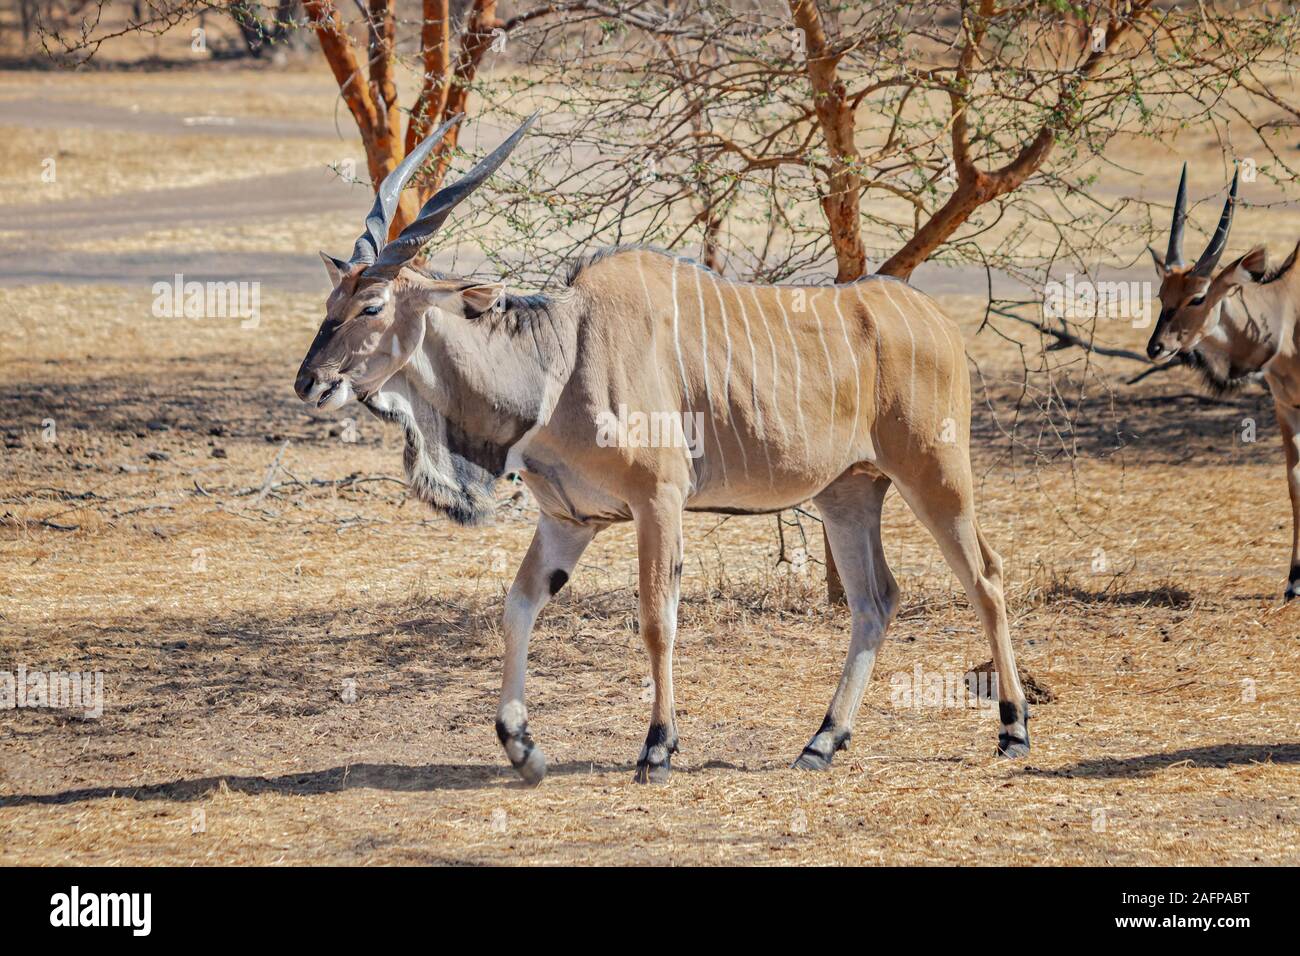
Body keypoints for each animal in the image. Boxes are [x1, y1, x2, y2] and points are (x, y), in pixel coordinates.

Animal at [294, 116, 1032, 784]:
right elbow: (519, 605)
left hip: (934, 474)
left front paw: (657, 748)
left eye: (372, 307)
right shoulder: (568, 522)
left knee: (986, 577)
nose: (310, 381)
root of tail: (937, 320)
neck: (562, 356)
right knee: (876, 599)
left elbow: (656, 619)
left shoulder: (659, 501)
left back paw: (1013, 729)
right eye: (331, 299)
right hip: (847, 493)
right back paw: (822, 742)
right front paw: (521, 746)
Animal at [1147, 165, 1300, 601]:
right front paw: (1293, 580)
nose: (1155, 347)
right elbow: (1294, 482)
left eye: (1198, 297)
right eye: (1162, 293)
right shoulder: (1285, 408)